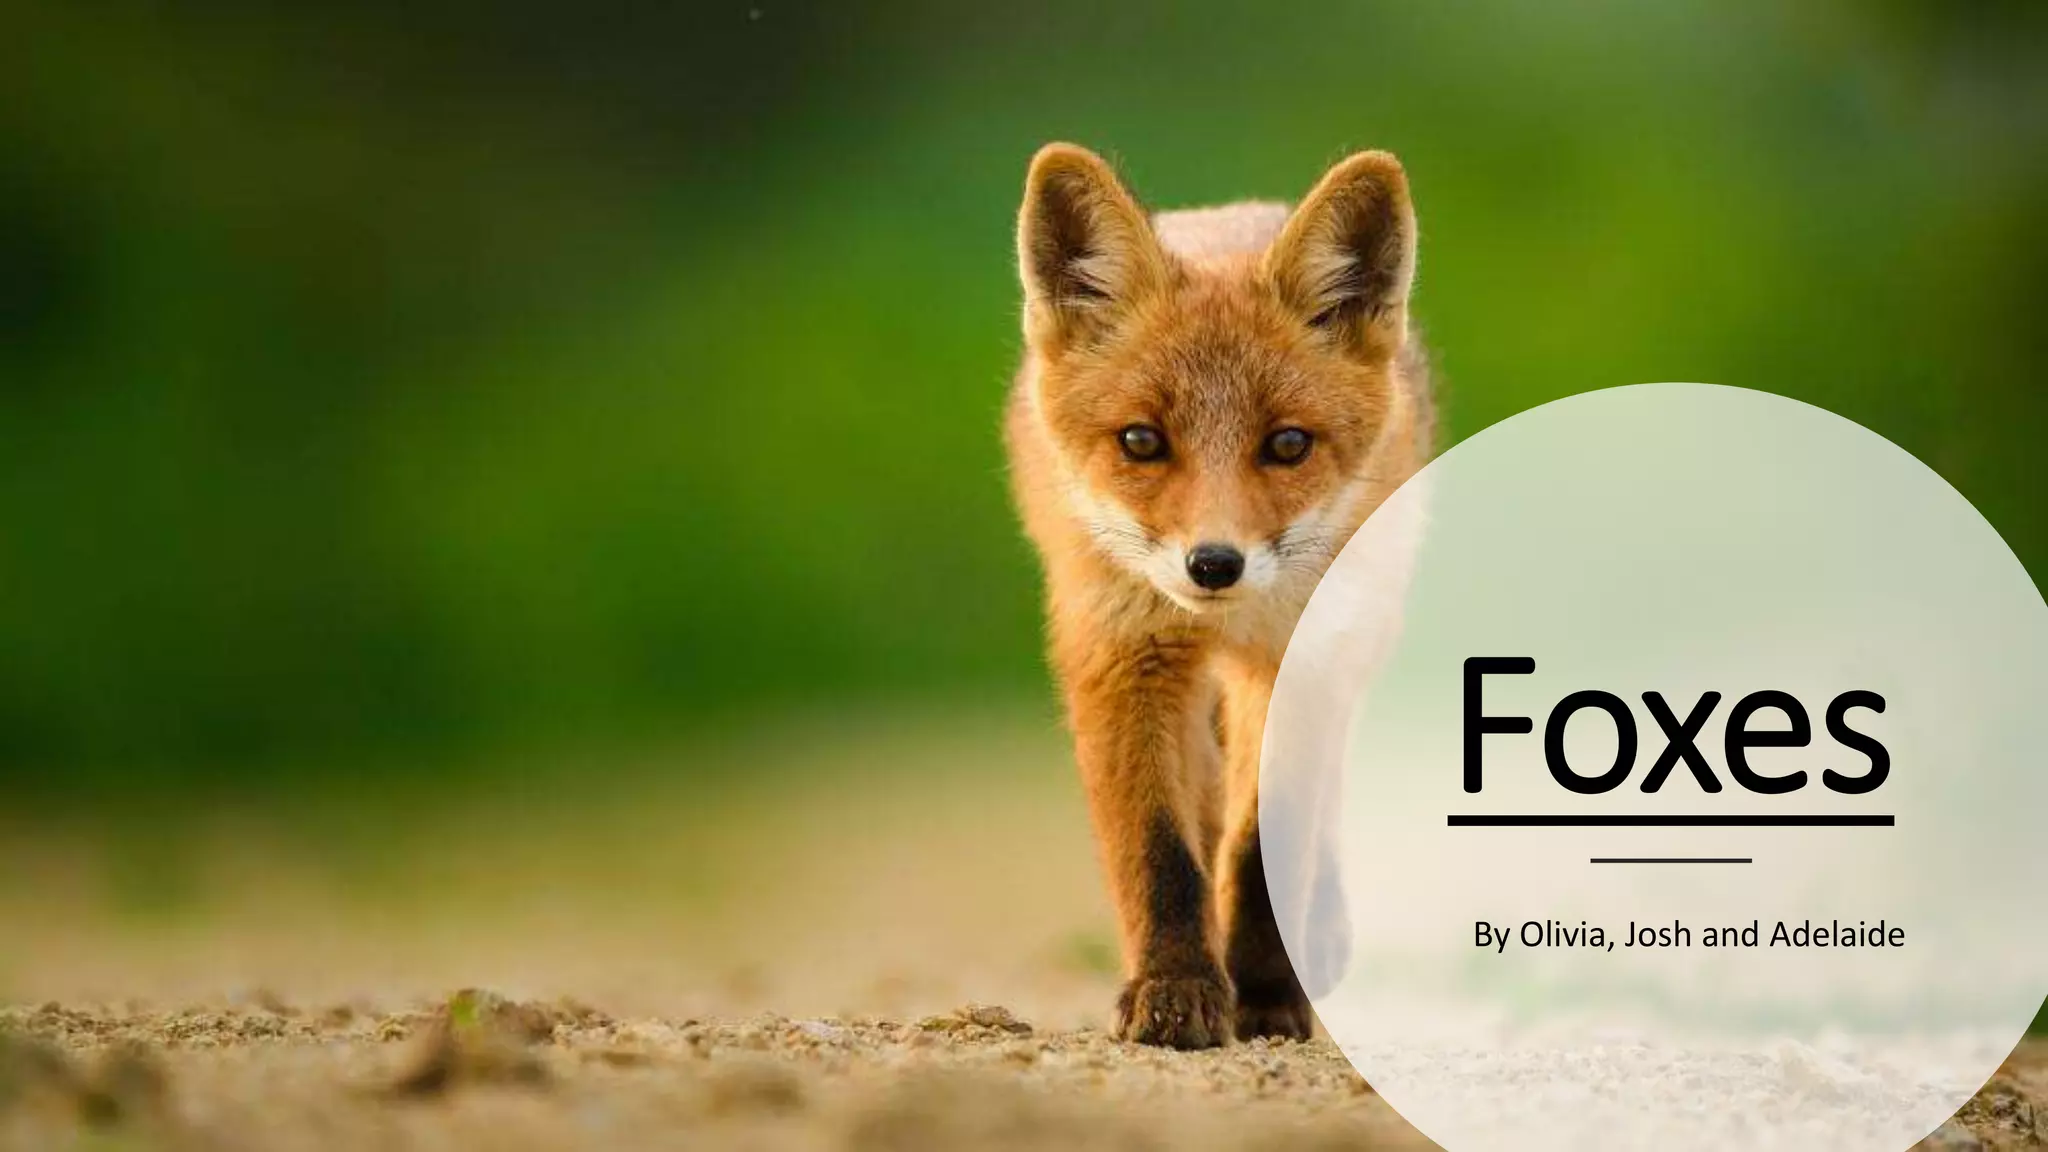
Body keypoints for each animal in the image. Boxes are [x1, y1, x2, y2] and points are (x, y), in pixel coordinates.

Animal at [1004, 144, 1434, 1048]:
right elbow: (1162, 852)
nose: (1214, 564)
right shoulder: (1122, 655)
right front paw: (1176, 988)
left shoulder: (1302, 659)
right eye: (1141, 440)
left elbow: (1266, 842)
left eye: (1288, 444)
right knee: (1201, 801)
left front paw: (1267, 991)